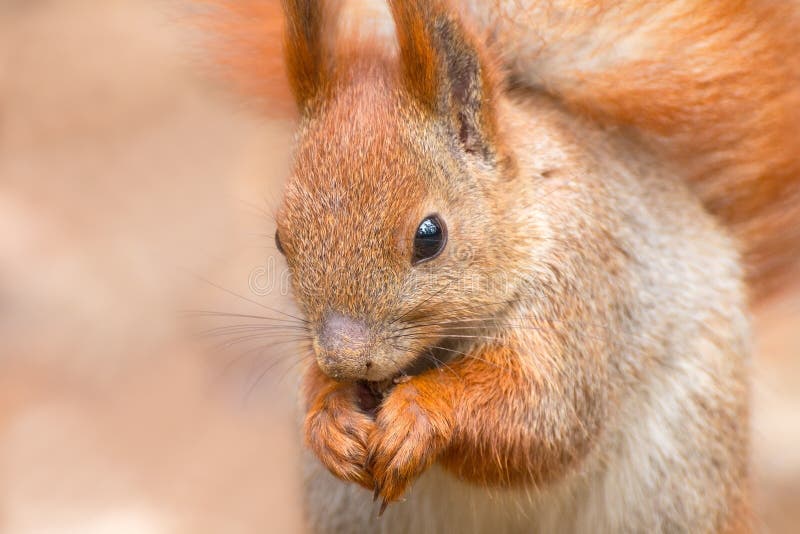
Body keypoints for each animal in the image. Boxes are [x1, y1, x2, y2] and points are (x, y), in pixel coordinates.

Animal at [201, 0, 800, 532]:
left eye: (430, 236)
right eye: (280, 239)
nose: (346, 360)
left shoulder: (581, 289)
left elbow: (542, 416)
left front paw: (419, 411)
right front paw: (329, 416)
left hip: (677, 479)